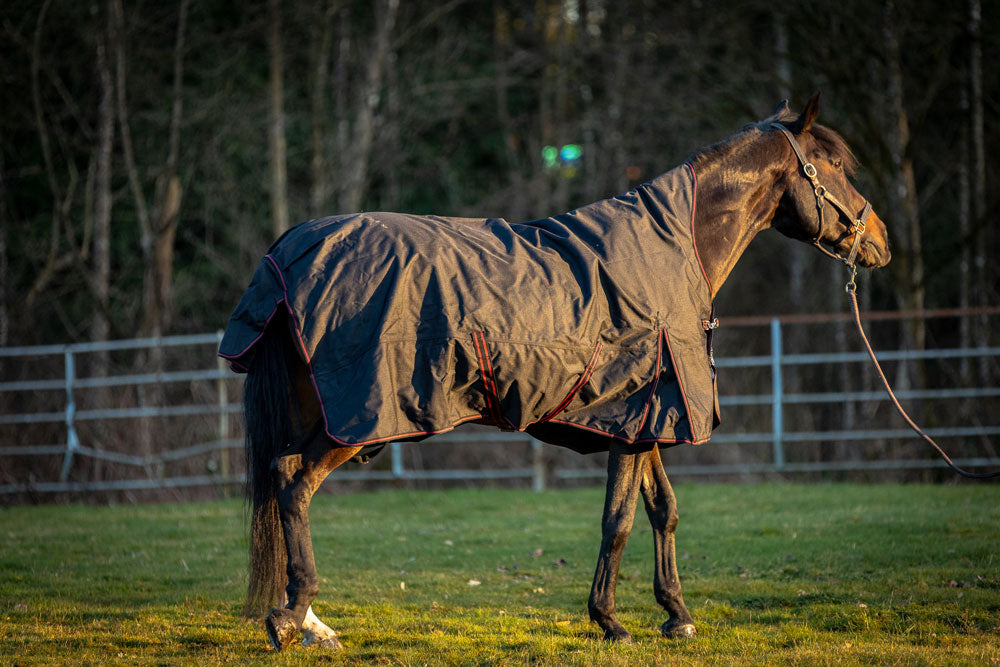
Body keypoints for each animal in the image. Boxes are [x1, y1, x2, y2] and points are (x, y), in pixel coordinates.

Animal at [219, 95, 892, 652]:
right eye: (834, 165)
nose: (880, 241)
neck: (675, 251)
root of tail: (288, 248)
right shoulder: (636, 420)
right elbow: (618, 521)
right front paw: (611, 622)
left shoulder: (645, 418)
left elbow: (663, 510)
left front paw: (676, 615)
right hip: (361, 419)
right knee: (294, 482)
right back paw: (292, 619)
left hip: (322, 411)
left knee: (282, 480)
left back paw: (311, 623)